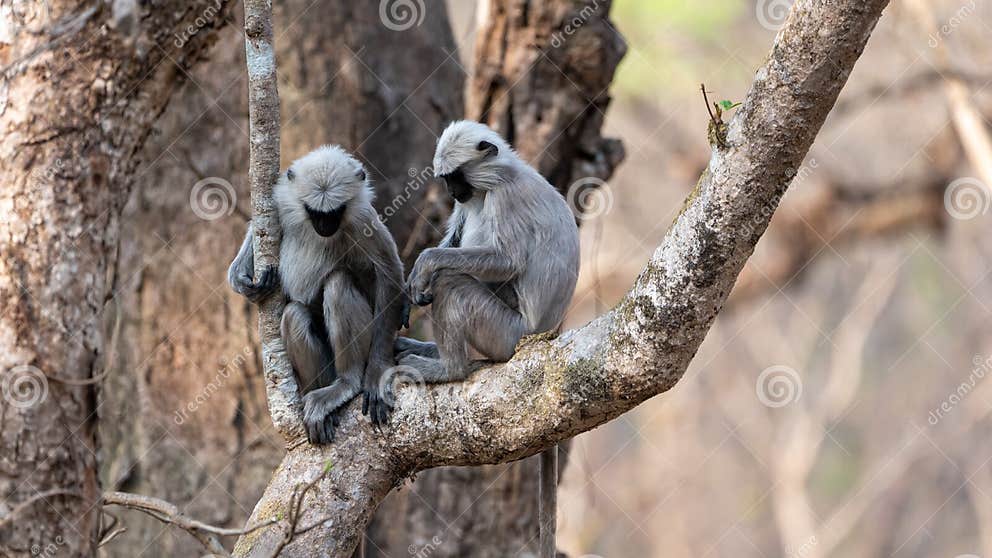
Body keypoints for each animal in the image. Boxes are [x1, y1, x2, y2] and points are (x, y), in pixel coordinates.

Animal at [228, 145, 405, 442]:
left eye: (335, 212)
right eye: (313, 212)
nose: (324, 226)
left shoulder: (361, 218)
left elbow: (389, 272)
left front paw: (378, 374)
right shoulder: (281, 204)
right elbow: (258, 227)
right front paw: (240, 277)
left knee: (338, 283)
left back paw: (347, 383)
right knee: (294, 315)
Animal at [394, 120, 580, 385]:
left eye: (456, 177)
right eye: (446, 179)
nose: (452, 192)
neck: (503, 172)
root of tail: (545, 333)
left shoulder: (506, 194)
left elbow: (510, 262)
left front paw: (424, 264)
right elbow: (455, 239)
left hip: (508, 334)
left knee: (450, 281)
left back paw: (450, 370)